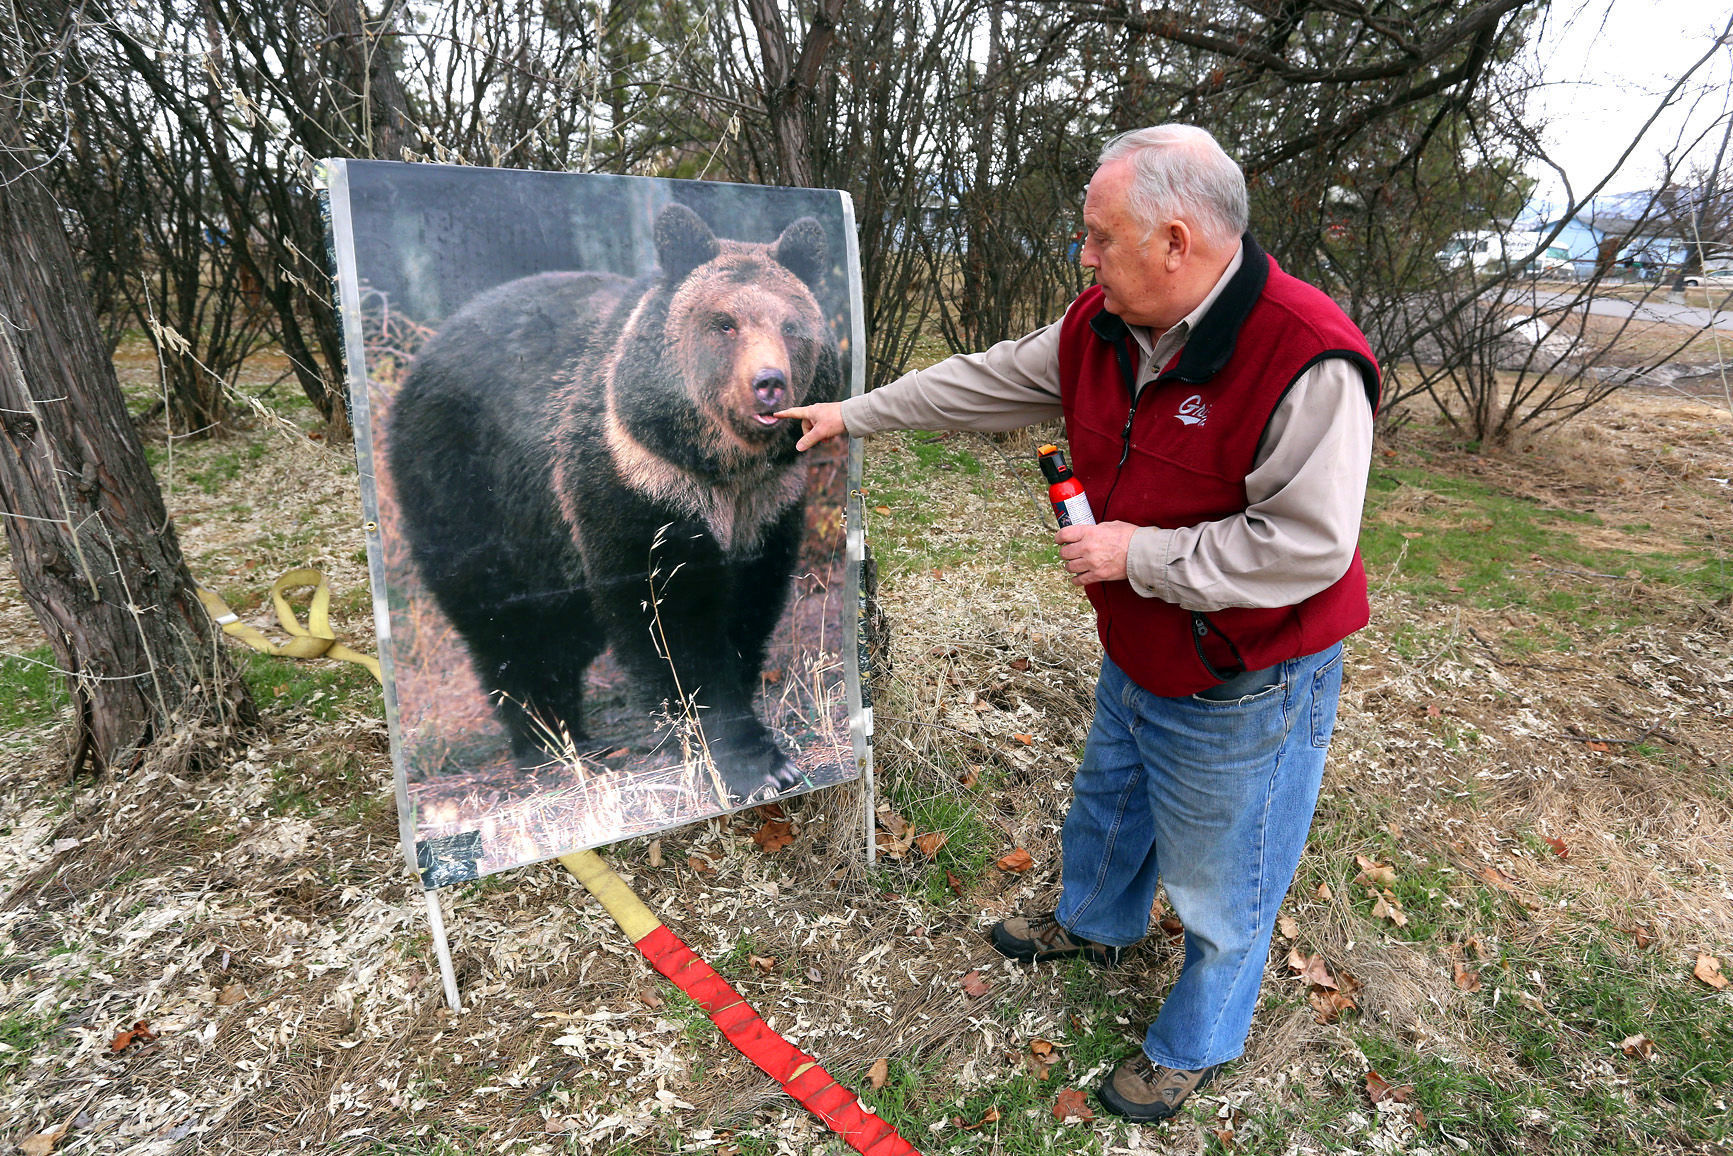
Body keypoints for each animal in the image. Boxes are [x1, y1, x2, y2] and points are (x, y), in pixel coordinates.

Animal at [386, 202, 839, 803]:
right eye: (724, 323)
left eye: (791, 325)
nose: (769, 383)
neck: (722, 469)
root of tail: (424, 351)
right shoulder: (638, 482)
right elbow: (671, 617)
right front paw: (750, 759)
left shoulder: (767, 504)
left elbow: (749, 604)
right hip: (470, 490)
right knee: (507, 622)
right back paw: (547, 740)